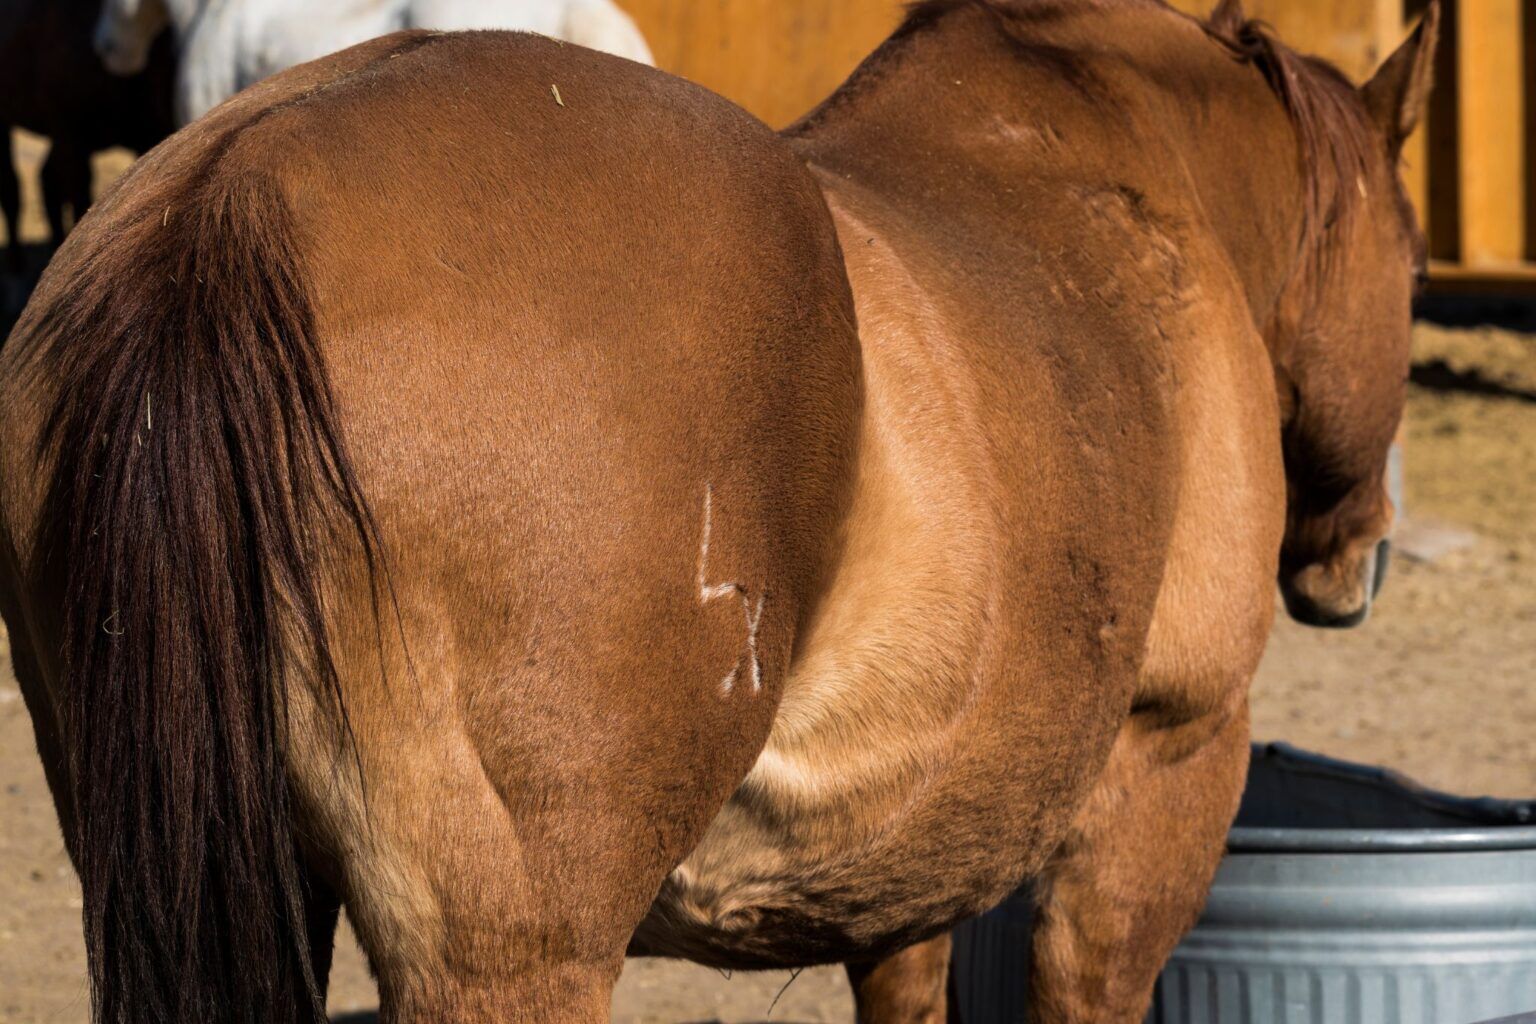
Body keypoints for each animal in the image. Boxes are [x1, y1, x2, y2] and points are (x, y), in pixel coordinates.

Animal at [0, 0, 1437, 1021]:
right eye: (1418, 262)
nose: (1359, 555)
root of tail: (231, 193)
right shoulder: (1159, 782)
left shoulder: (914, 858)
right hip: (511, 961)